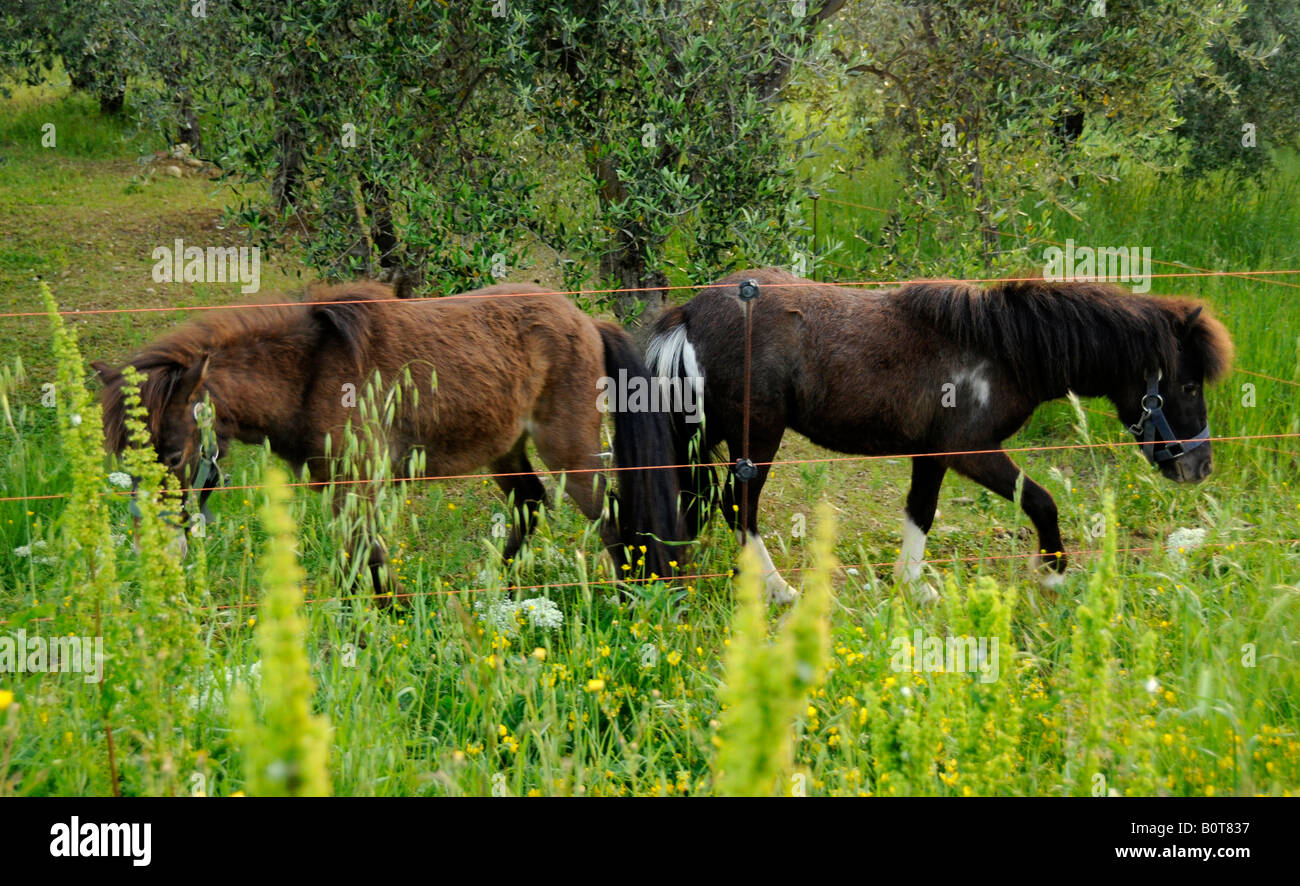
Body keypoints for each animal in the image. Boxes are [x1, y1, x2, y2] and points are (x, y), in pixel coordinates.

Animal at [94, 280, 686, 596]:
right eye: (123, 459)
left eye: (173, 454)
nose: (153, 548)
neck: (309, 371)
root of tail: (586, 320)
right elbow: (357, 559)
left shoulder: (359, 486)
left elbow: (368, 557)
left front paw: (390, 614)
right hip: (505, 450)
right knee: (529, 504)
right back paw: (493, 587)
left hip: (570, 454)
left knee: (608, 519)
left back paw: (629, 593)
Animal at [647, 267, 1233, 604]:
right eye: (1187, 384)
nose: (1199, 466)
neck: (1002, 350)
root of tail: (692, 311)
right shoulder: (971, 451)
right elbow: (1040, 501)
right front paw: (1053, 574)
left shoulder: (931, 454)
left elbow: (920, 513)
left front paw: (912, 587)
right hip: (758, 439)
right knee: (738, 507)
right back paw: (778, 589)